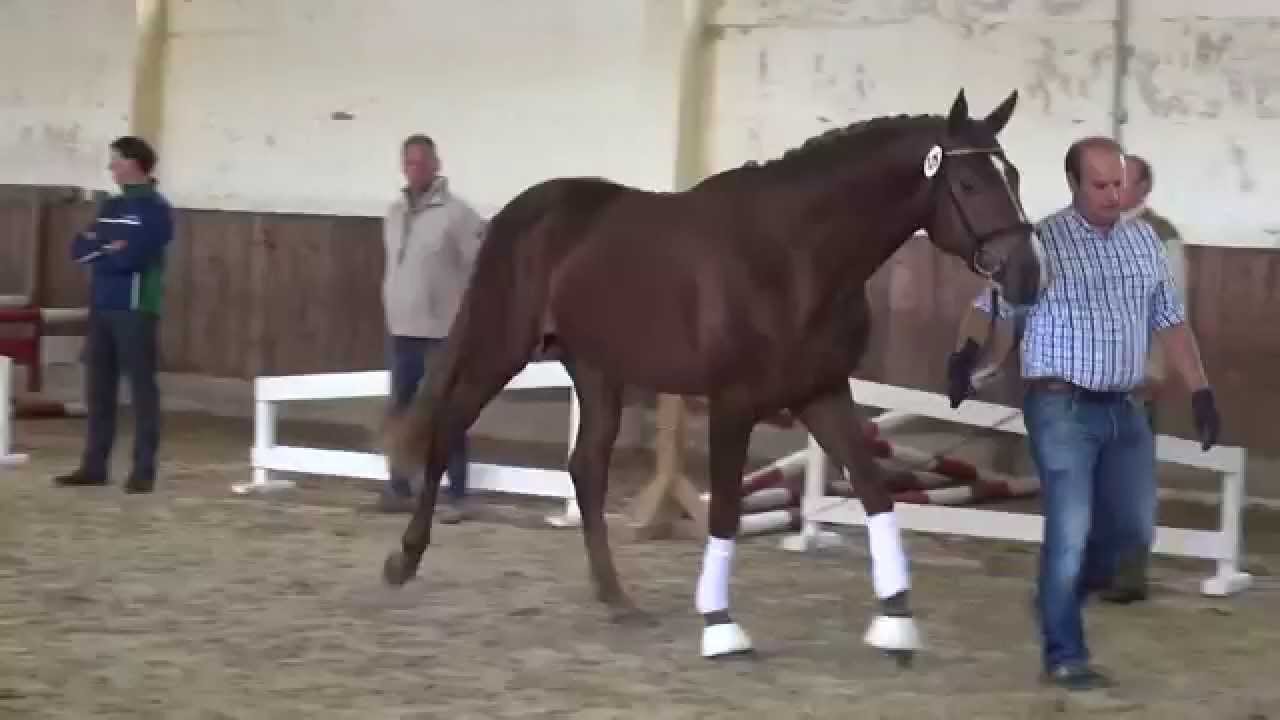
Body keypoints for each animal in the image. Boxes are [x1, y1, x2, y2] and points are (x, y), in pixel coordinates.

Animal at [379, 88, 1043, 666]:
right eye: (969, 182)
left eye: (1013, 177)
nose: (1028, 276)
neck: (796, 258)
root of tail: (521, 212)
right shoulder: (733, 403)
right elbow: (724, 511)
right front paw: (722, 627)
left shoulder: (822, 393)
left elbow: (877, 495)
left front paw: (897, 624)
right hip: (501, 348)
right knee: (449, 427)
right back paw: (403, 562)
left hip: (597, 371)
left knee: (586, 468)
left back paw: (617, 598)